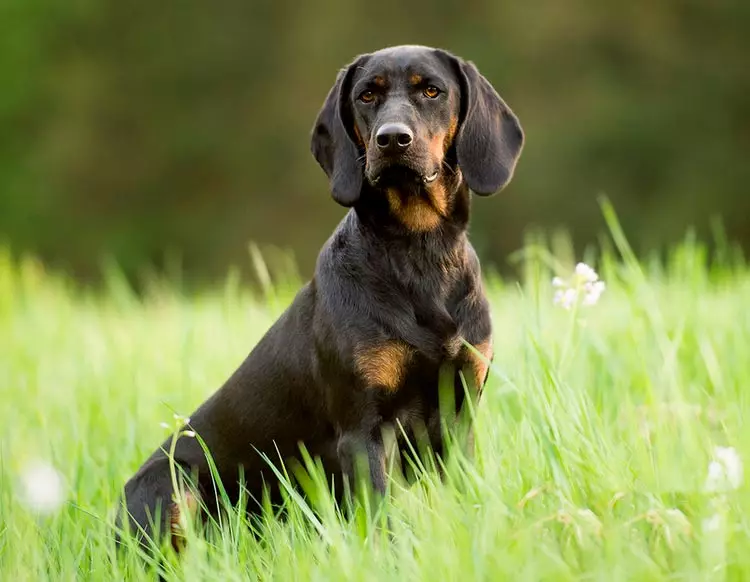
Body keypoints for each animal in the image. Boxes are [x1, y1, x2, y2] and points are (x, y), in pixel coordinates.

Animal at [117, 44, 524, 552]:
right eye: (367, 94)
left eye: (432, 90)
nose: (393, 140)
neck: (420, 253)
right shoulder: (363, 429)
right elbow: (381, 520)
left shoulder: (459, 410)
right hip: (170, 483)